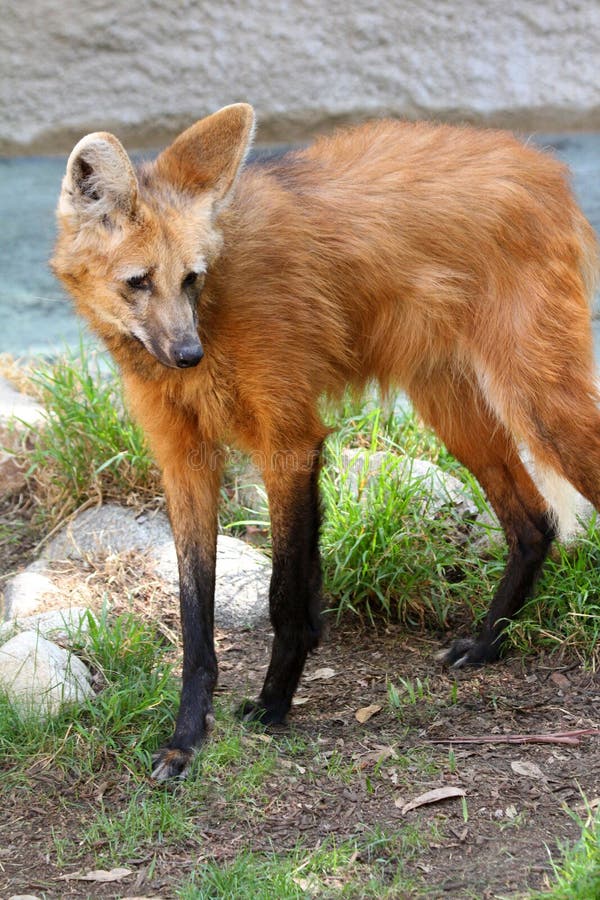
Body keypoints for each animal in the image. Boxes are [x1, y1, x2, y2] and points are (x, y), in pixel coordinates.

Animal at [52, 104, 599, 780]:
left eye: (190, 279)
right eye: (137, 282)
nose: (187, 355)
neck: (215, 312)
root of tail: (546, 168)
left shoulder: (288, 439)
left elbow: (285, 594)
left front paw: (272, 705)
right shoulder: (185, 458)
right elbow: (194, 612)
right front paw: (186, 738)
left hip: (541, 402)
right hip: (450, 402)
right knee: (533, 521)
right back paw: (485, 644)